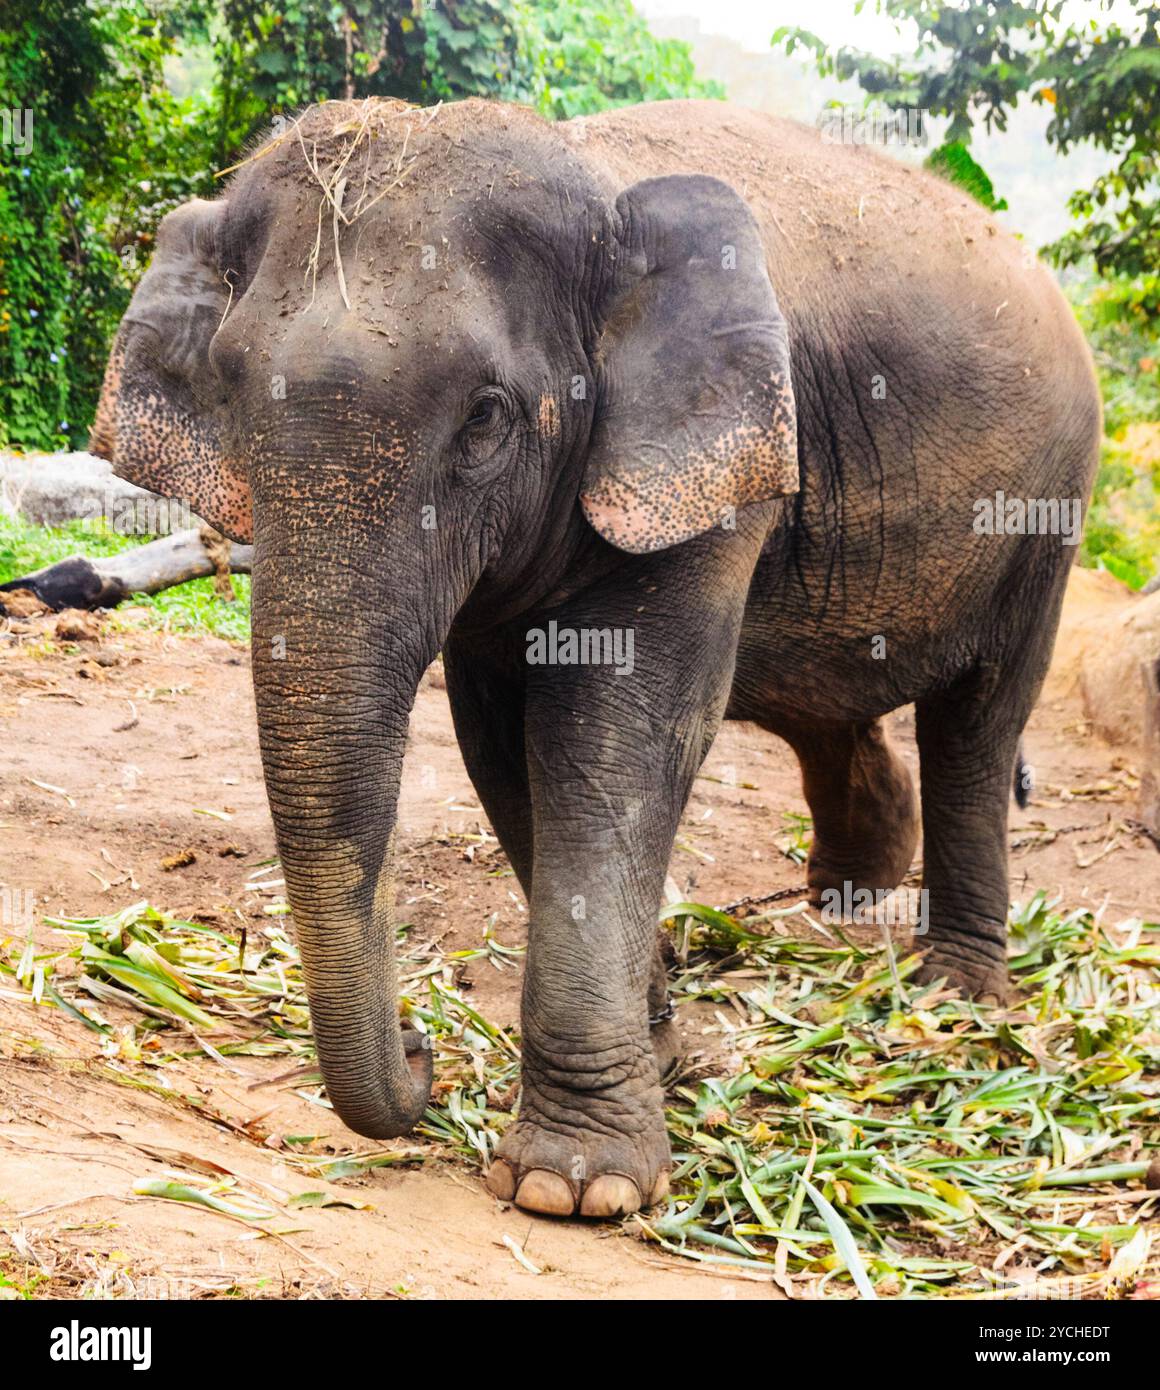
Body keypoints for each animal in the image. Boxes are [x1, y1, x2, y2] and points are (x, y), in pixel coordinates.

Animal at [91, 96, 1101, 1220]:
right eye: (227, 391)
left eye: (484, 417)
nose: (421, 1042)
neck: (591, 171)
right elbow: (502, 746)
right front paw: (657, 1058)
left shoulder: (711, 457)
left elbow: (614, 740)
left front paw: (573, 1189)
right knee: (829, 709)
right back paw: (844, 897)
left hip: (1047, 512)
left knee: (977, 721)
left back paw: (951, 990)